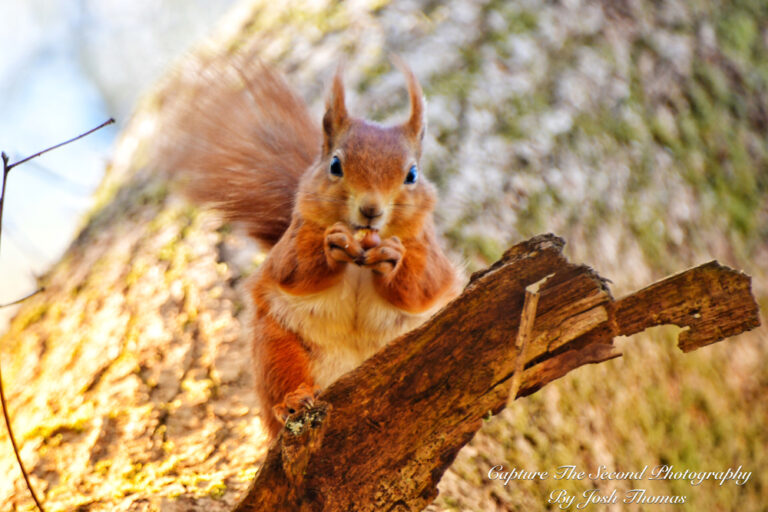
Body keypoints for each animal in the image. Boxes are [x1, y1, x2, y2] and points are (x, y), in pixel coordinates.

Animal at [166, 55, 462, 439]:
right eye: (335, 164)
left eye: (412, 174)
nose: (371, 210)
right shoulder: (292, 242)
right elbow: (294, 269)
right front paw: (331, 246)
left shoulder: (429, 251)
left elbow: (422, 286)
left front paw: (392, 259)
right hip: (276, 347)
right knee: (285, 380)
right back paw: (293, 400)